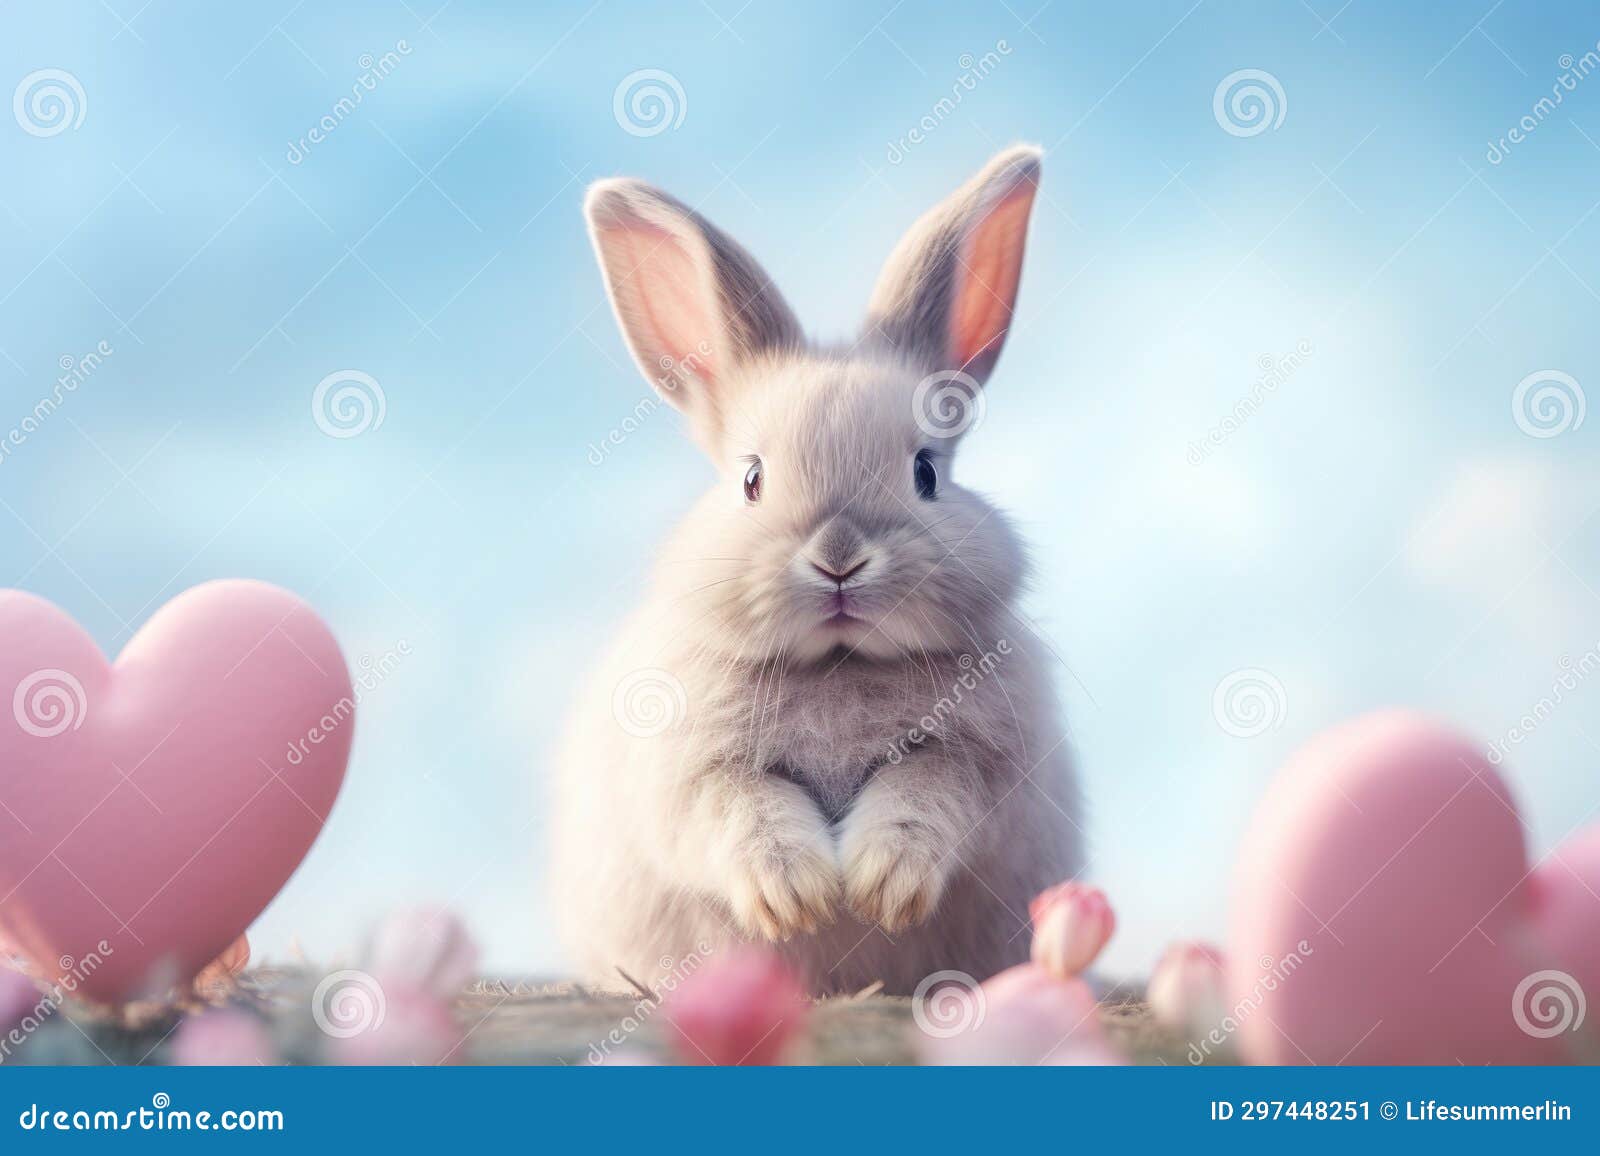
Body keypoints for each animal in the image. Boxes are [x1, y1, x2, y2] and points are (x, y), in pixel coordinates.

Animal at [551, 145, 1083, 997]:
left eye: (926, 473)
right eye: (751, 479)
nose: (839, 558)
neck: (840, 664)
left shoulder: (977, 767)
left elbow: (920, 804)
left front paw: (877, 889)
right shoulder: (691, 777)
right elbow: (745, 817)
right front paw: (798, 899)